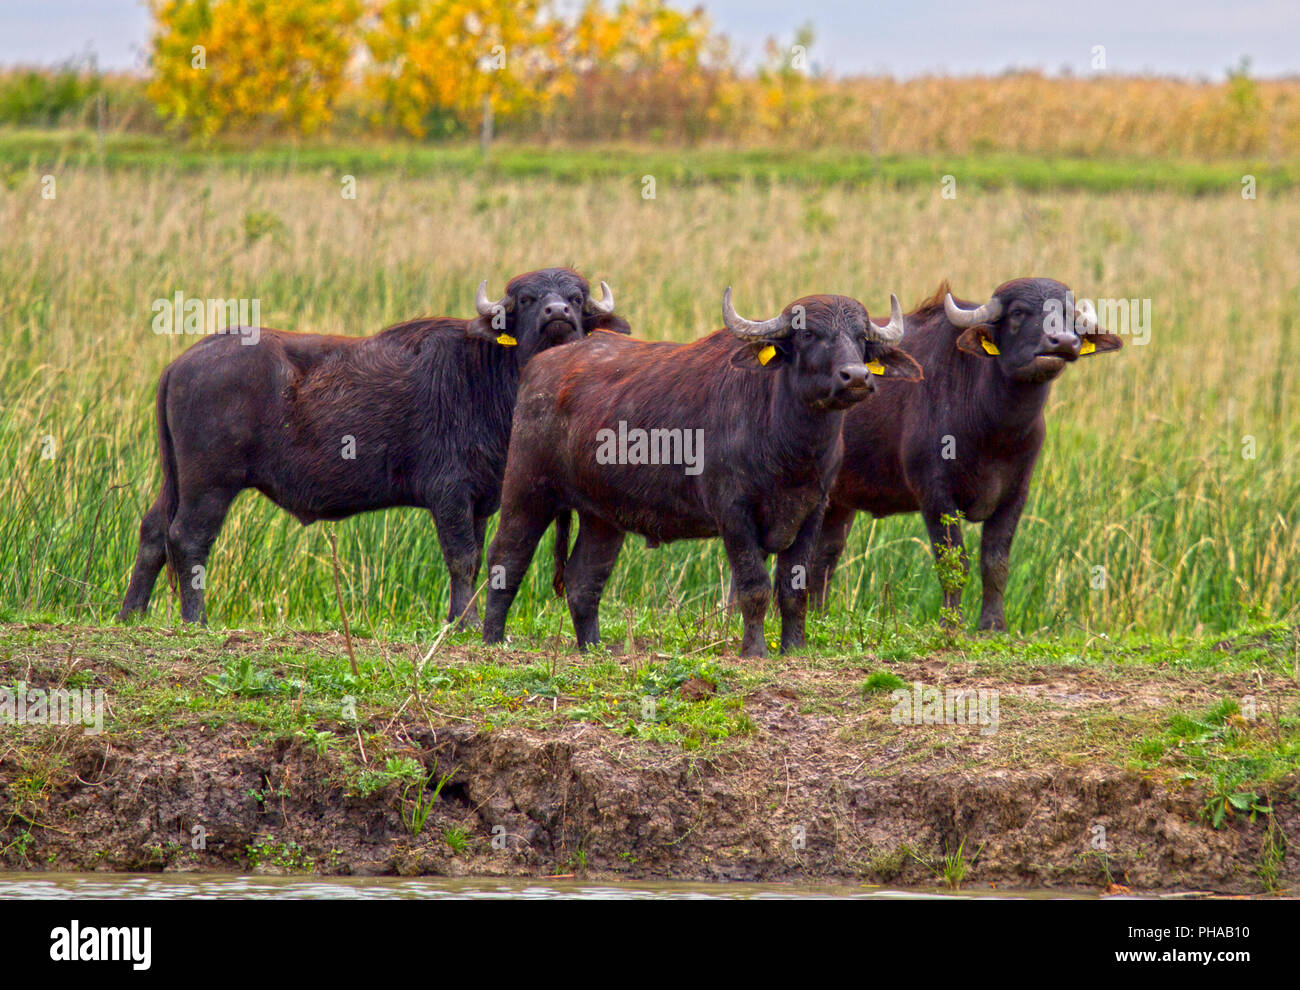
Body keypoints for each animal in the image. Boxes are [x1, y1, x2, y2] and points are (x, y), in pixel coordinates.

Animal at [118, 267, 630, 626]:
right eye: (527, 298)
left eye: (577, 297)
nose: (557, 313)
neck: (488, 377)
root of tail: (182, 363)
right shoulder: (448, 493)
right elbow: (462, 558)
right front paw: (461, 625)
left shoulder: (481, 500)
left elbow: (477, 559)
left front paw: (458, 619)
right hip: (210, 484)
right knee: (188, 538)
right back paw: (196, 620)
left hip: (178, 480)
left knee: (152, 532)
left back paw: (131, 615)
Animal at [482, 288, 922, 658]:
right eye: (809, 334)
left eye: (861, 337)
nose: (857, 377)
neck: (790, 446)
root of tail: (540, 369)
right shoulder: (733, 513)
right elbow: (754, 586)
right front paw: (754, 651)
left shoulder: (812, 511)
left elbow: (795, 588)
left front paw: (793, 649)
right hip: (527, 490)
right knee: (507, 559)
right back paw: (493, 639)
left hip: (601, 517)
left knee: (582, 580)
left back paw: (593, 648)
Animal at [807, 277, 1123, 629]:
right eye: (1018, 312)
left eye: (1068, 314)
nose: (1064, 342)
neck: (995, 431)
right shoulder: (935, 495)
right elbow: (954, 563)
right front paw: (951, 624)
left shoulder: (1016, 495)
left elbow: (996, 562)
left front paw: (993, 626)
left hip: (840, 503)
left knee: (825, 557)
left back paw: (817, 616)